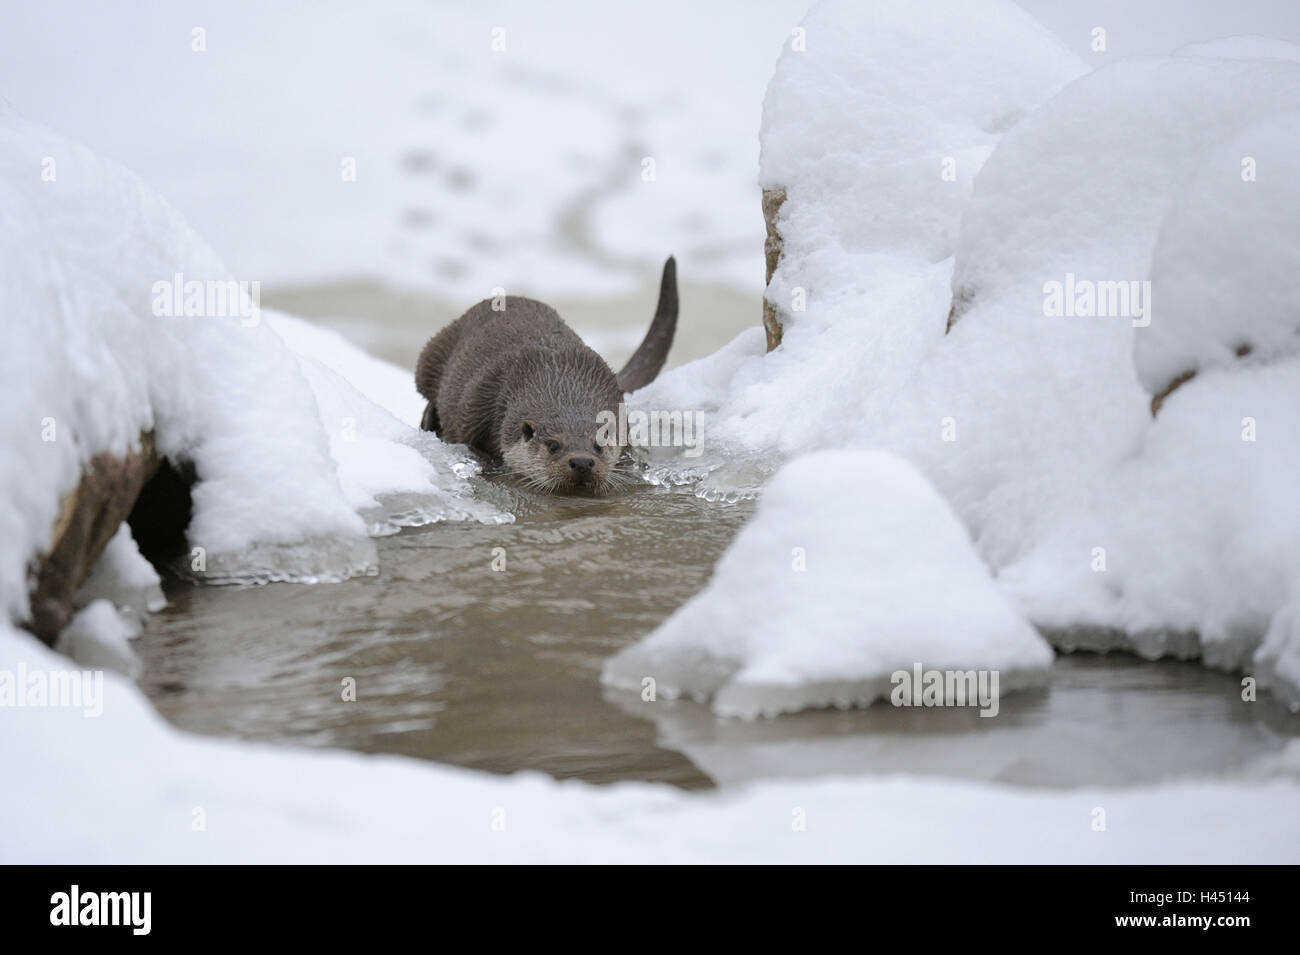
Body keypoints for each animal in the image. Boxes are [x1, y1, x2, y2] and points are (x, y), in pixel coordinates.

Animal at [415, 257, 678, 493]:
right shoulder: (474, 408)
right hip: (433, 353)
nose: (582, 462)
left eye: (598, 445)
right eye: (553, 445)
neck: (561, 379)